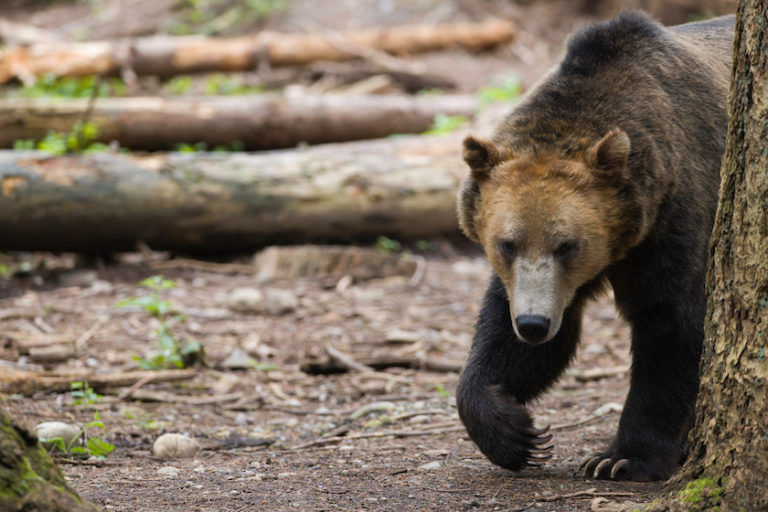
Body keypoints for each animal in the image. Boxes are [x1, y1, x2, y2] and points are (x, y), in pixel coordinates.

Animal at [455, 11, 734, 482]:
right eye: (507, 243)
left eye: (567, 244)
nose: (533, 323)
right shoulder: (546, 283)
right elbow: (512, 341)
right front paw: (516, 433)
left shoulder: (678, 219)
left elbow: (673, 327)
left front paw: (622, 458)